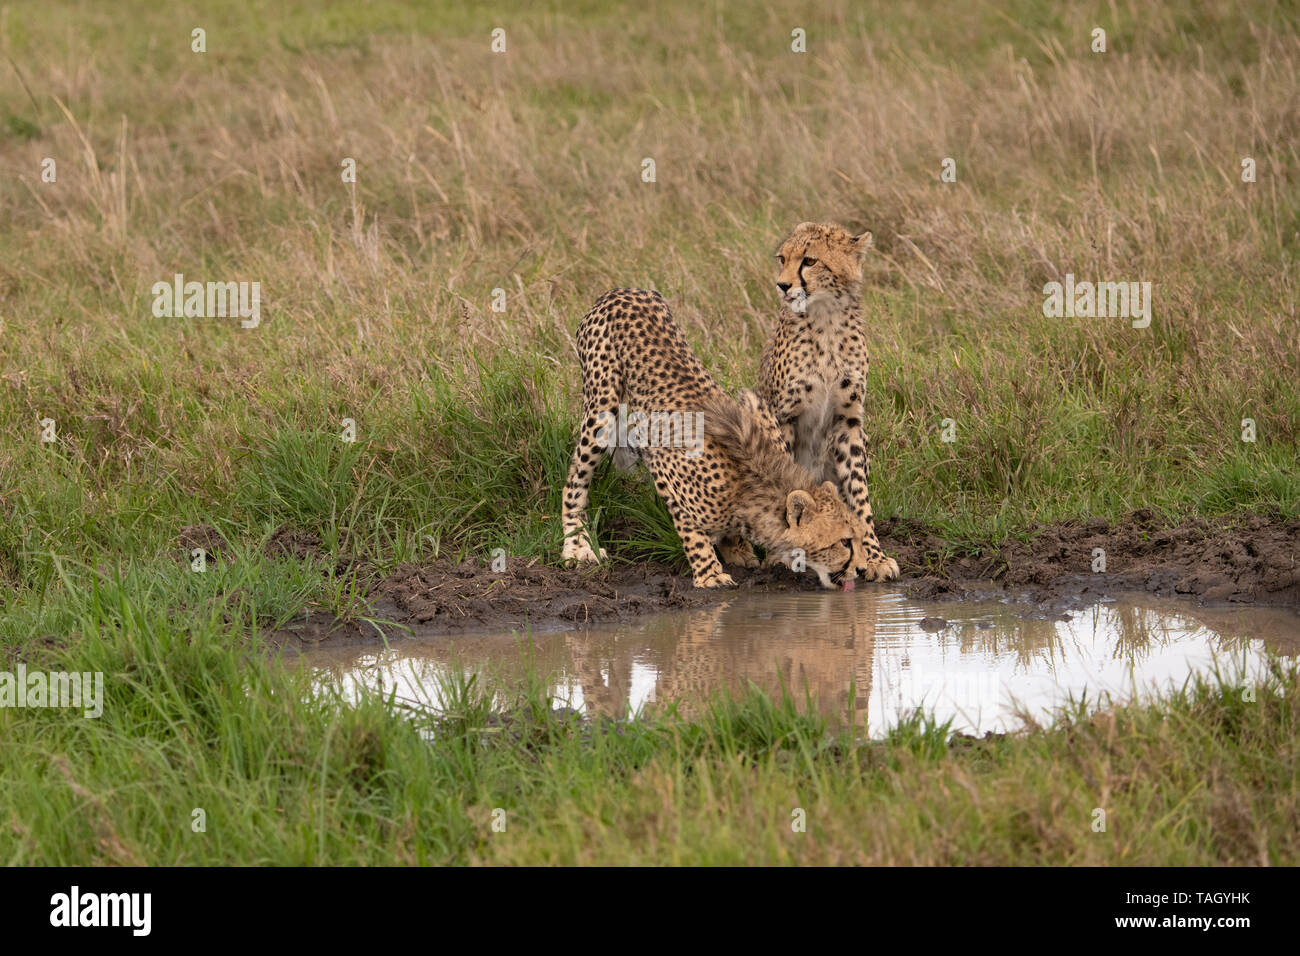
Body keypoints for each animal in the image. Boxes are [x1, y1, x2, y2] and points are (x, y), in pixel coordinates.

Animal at [560, 288, 874, 589]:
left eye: (858, 537)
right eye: (844, 541)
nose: (860, 569)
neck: (753, 481)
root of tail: (622, 290)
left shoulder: (755, 407)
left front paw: (737, 549)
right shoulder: (663, 460)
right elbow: (692, 531)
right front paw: (710, 573)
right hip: (602, 406)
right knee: (574, 482)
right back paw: (576, 545)